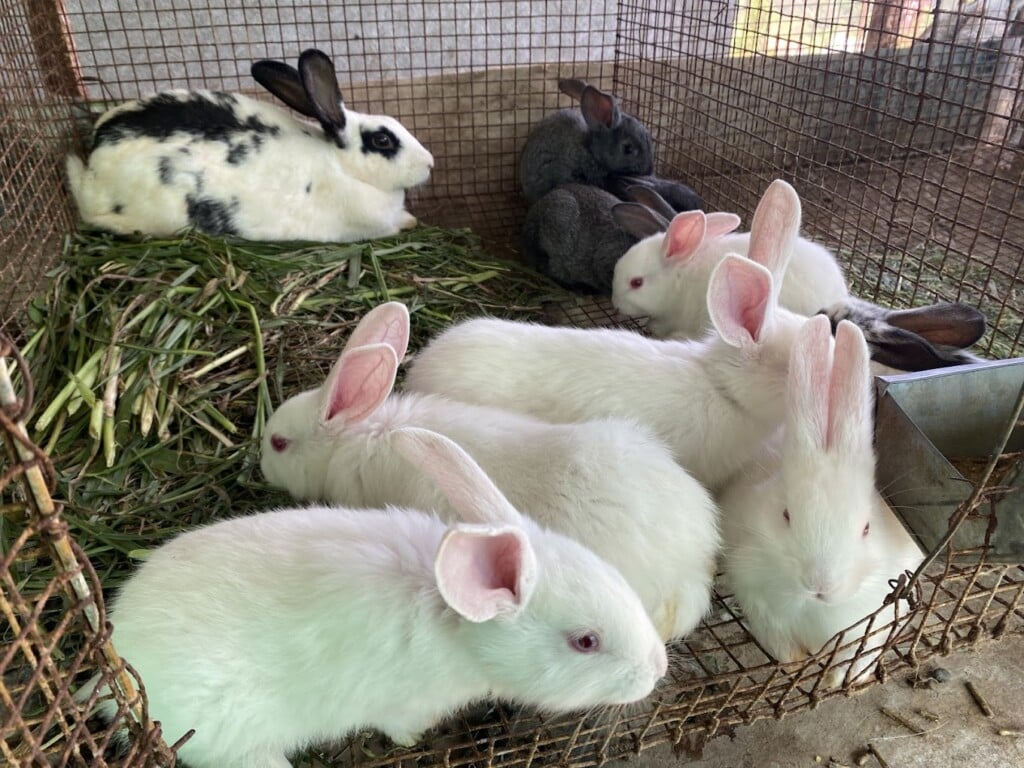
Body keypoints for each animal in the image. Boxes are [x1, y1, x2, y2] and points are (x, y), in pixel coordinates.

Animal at [65, 48, 434, 242]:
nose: (430, 163)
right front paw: (411, 222)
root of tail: (95, 159)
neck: (342, 166)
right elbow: (399, 224)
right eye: (383, 140)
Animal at [80, 426, 668, 768]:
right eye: (585, 641)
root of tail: (117, 676)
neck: (452, 618)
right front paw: (415, 741)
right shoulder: (400, 703)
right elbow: (401, 726)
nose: (657, 670)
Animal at [717, 315, 924, 688]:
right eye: (786, 515)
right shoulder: (752, 588)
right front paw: (794, 664)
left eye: (867, 528)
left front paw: (839, 680)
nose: (820, 586)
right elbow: (777, 638)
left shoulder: (885, 611)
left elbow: (863, 651)